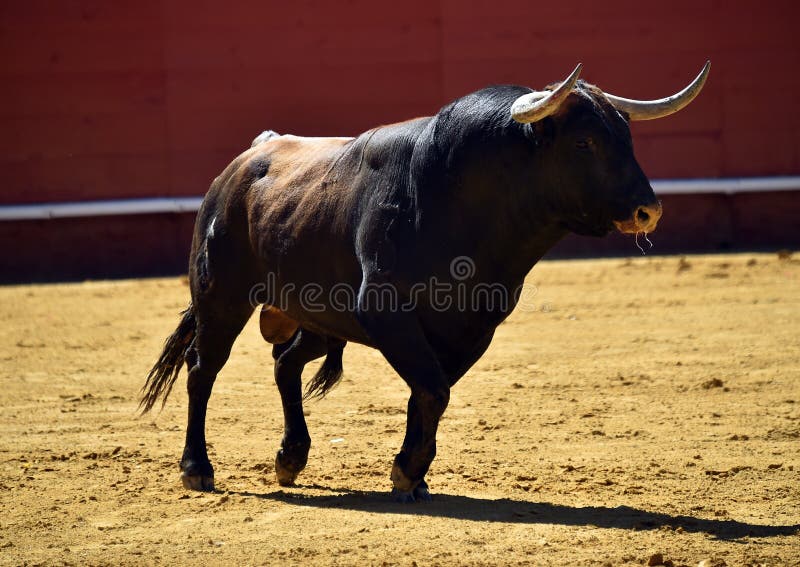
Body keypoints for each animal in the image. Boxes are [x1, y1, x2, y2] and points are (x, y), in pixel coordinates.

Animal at [141, 62, 710, 501]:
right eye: (585, 141)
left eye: (627, 137)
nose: (648, 210)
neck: (457, 200)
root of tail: (245, 160)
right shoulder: (384, 312)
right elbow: (432, 390)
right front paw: (407, 470)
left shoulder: (472, 329)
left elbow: (429, 393)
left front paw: (412, 476)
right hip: (221, 297)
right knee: (202, 371)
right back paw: (197, 470)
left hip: (319, 316)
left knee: (285, 364)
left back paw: (290, 457)